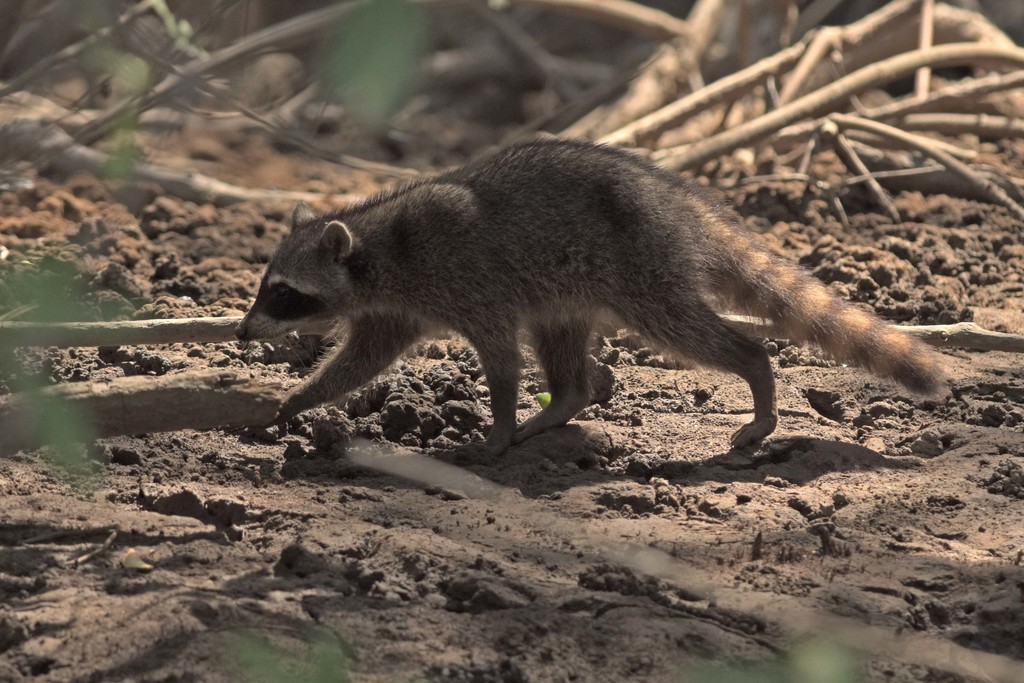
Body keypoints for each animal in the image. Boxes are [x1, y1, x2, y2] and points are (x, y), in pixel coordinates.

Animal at [236, 138, 944, 454]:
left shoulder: (469, 282)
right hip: (569, 286)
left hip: (643, 269)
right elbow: (360, 362)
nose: (242, 332)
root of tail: (683, 201)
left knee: (696, 332)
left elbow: (500, 358)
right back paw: (567, 401)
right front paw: (298, 398)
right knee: (564, 348)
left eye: (284, 295)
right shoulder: (394, 309)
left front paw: (497, 425)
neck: (377, 251)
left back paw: (756, 374)